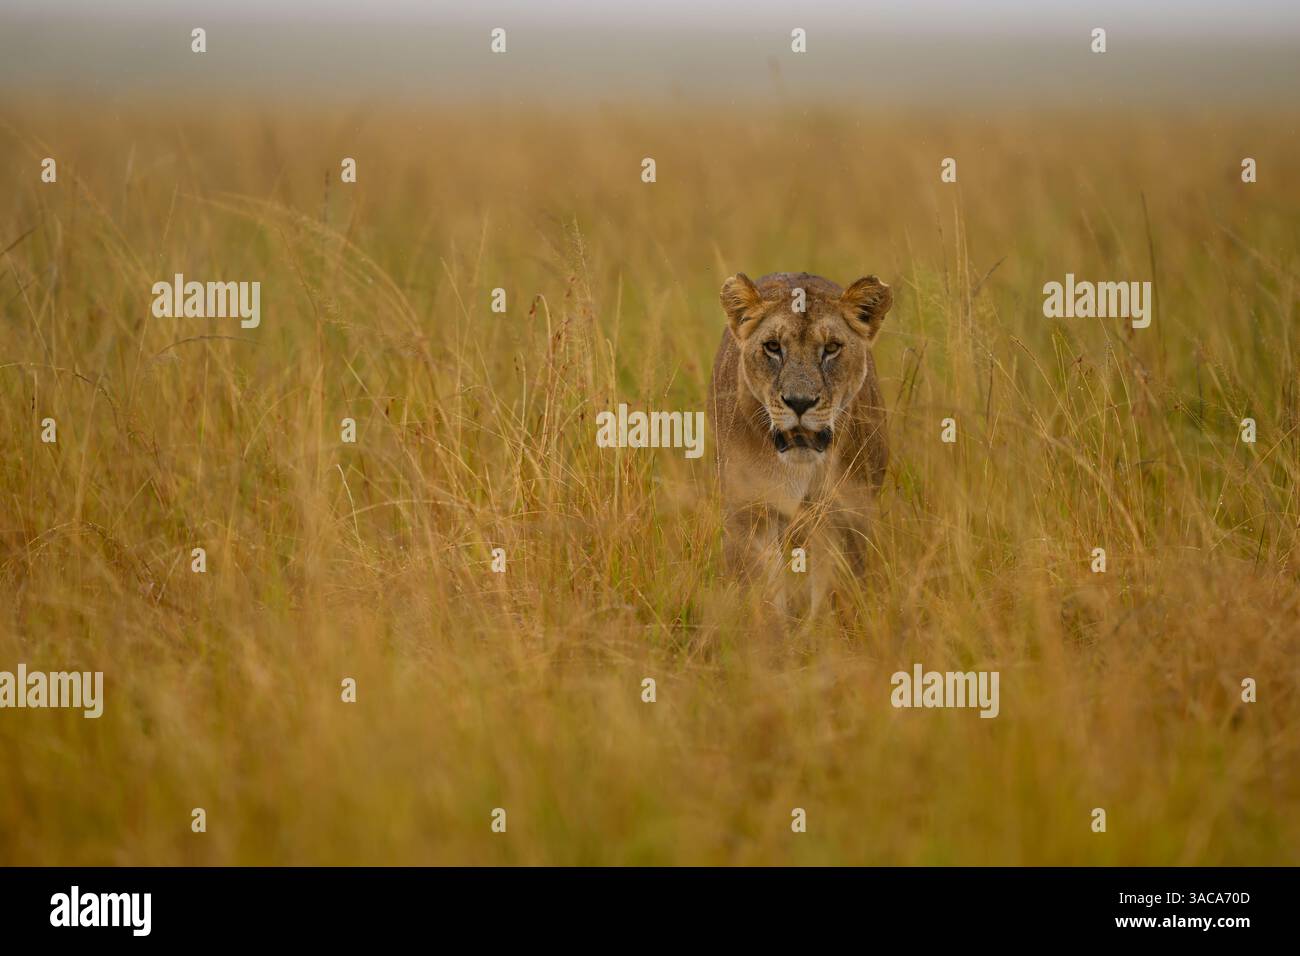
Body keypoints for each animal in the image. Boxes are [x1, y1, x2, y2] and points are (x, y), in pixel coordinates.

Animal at [708, 271, 892, 617]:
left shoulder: (846, 511)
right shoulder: (750, 511)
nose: (800, 402)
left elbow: (833, 587)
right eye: (773, 347)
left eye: (831, 348)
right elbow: (764, 591)